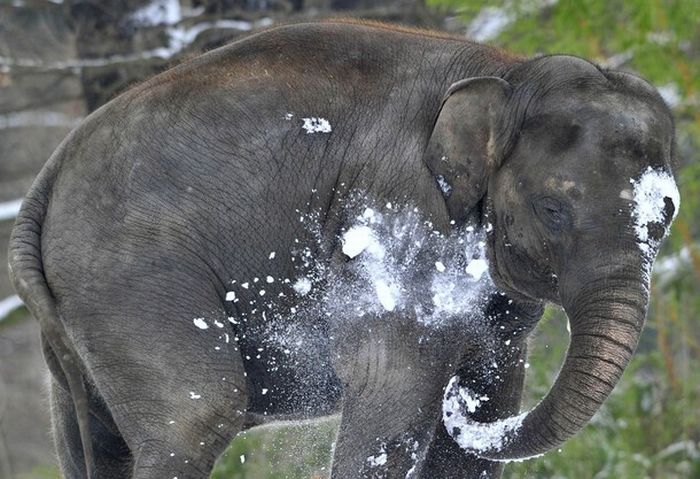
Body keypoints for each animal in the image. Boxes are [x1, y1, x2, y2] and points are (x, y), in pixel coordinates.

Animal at [8, 20, 679, 479]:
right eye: (553, 211)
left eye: (666, 219)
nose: (456, 399)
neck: (510, 74)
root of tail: (42, 185)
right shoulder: (398, 213)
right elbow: (392, 392)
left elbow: (490, 396)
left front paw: (471, 391)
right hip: (132, 279)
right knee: (197, 416)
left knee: (96, 439)